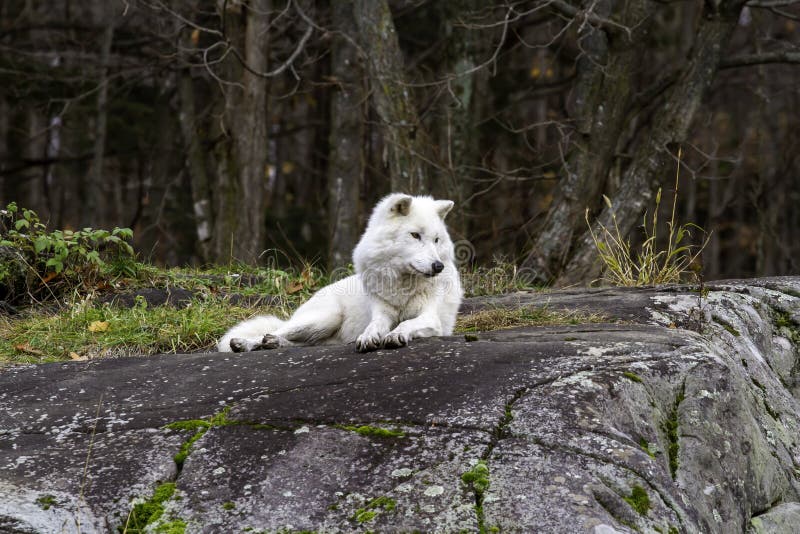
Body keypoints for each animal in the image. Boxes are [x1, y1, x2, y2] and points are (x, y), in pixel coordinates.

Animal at [217, 193, 463, 353]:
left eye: (436, 240)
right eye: (415, 235)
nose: (438, 266)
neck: (402, 287)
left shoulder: (432, 319)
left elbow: (406, 324)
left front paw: (394, 335)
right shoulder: (381, 313)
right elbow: (374, 326)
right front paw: (369, 337)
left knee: (299, 341)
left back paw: (272, 344)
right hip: (325, 317)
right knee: (277, 331)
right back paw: (245, 343)